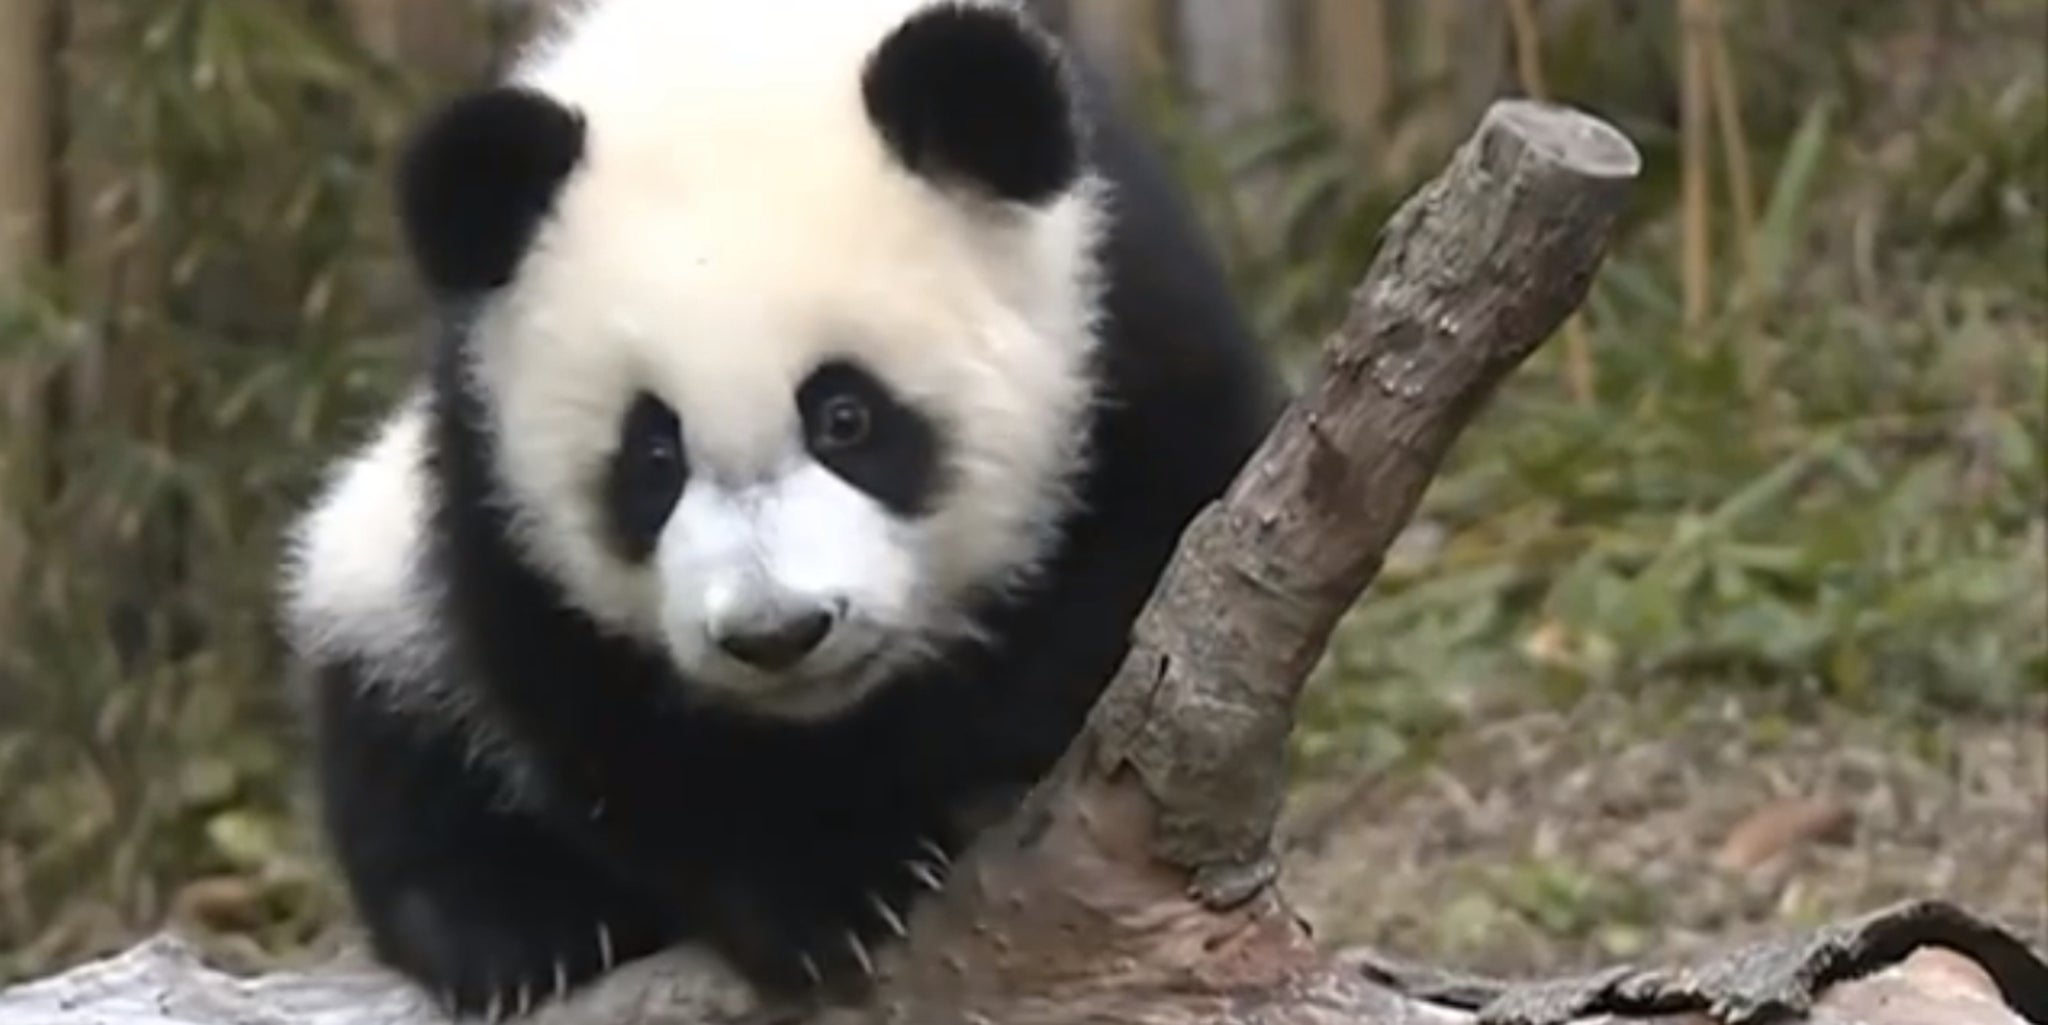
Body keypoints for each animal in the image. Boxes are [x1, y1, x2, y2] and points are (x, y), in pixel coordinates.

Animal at [280, 0, 1286, 1018]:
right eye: (654, 454)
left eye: (845, 415)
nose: (777, 635)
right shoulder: (483, 458)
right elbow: (600, 712)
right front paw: (829, 887)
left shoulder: (1124, 313)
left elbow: (1150, 552)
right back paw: (516, 932)